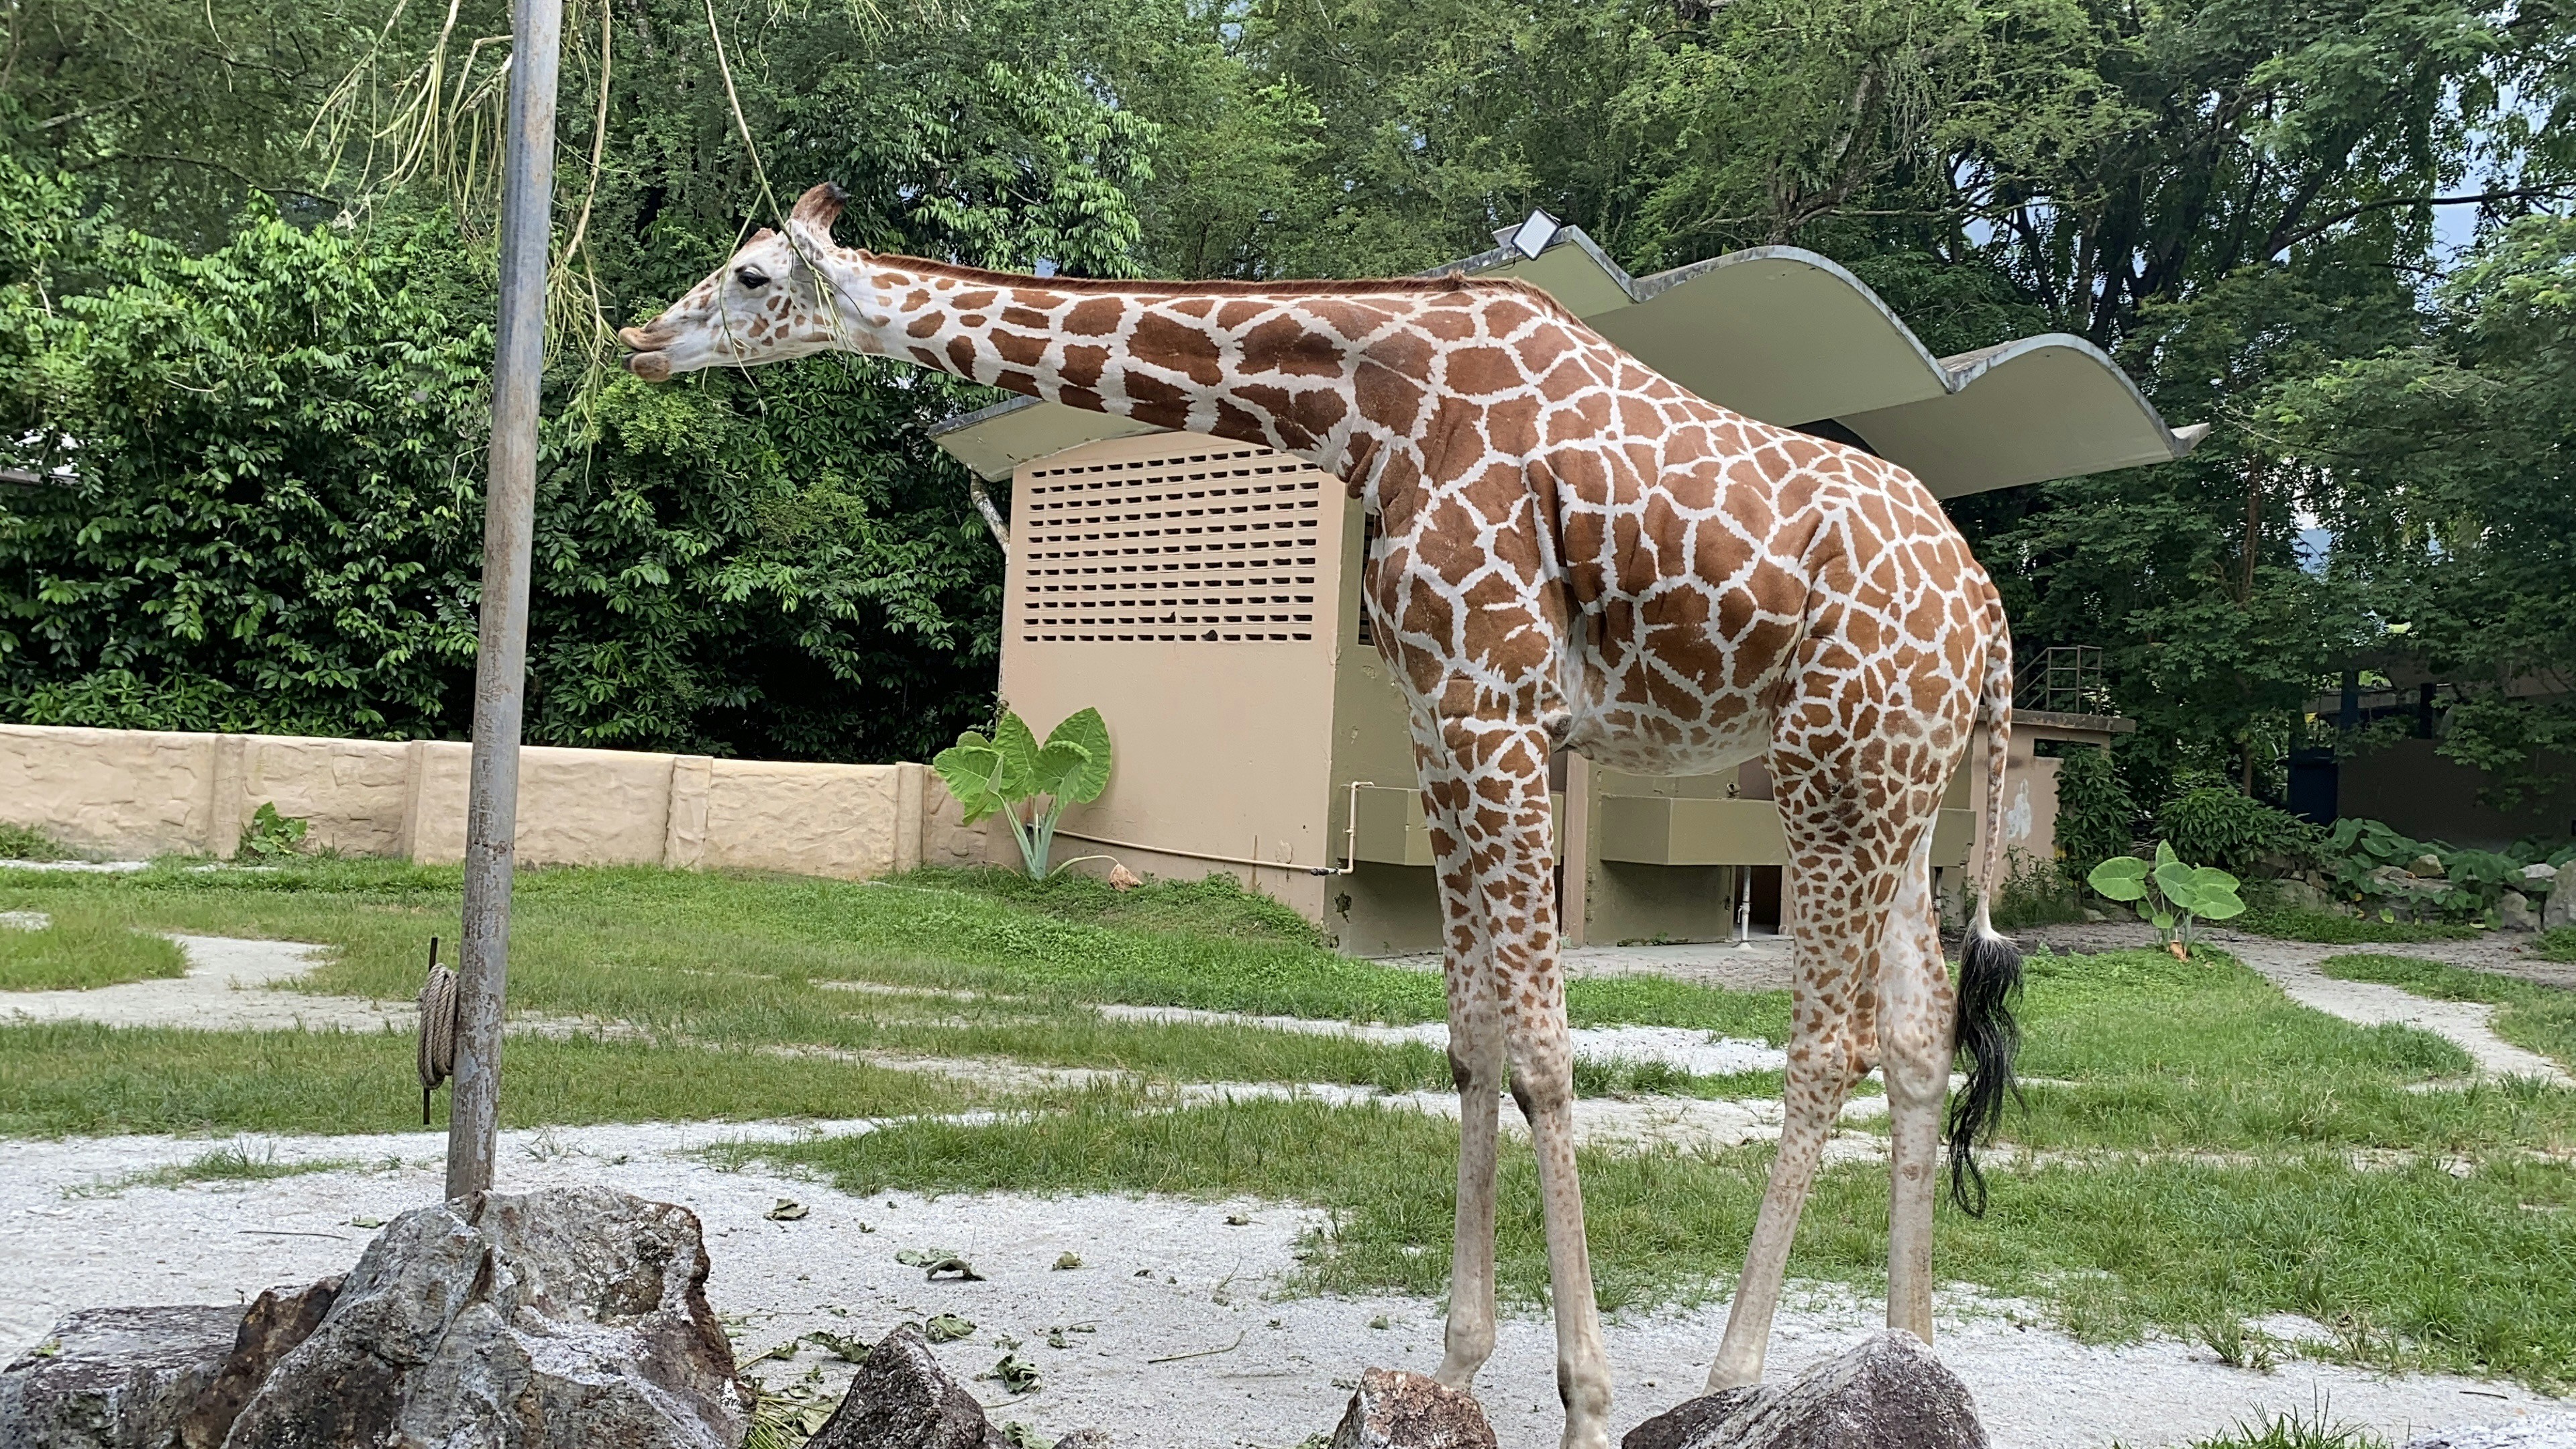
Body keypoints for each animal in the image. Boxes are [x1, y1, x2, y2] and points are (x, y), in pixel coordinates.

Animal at [620, 183, 2024, 1448]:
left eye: (752, 275)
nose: (638, 337)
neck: (1377, 409)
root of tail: (1989, 608)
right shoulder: (1440, 733)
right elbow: (1473, 1045)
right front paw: (1453, 1367)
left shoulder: (1501, 718)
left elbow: (1548, 1055)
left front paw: (1585, 1400)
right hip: (1901, 785)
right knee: (1916, 1036)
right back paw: (1911, 1358)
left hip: (1833, 772)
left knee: (1831, 1046)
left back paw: (1733, 1379)